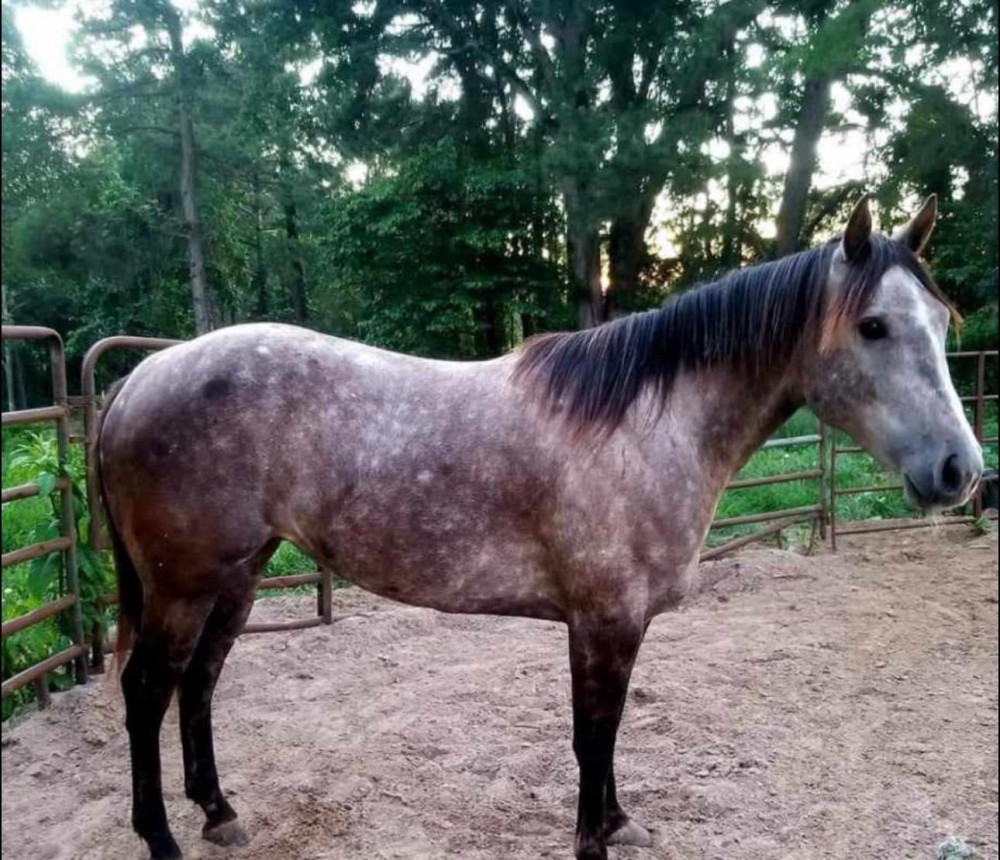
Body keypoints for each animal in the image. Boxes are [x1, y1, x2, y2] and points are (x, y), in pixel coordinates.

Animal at [97, 195, 983, 860]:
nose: (960, 469)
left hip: (238, 575)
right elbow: (594, 736)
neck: (646, 425)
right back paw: (162, 838)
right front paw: (593, 840)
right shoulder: (604, 622)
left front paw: (618, 824)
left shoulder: (612, 625)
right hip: (184, 587)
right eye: (873, 325)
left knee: (198, 685)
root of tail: (139, 376)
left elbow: (605, 738)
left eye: (940, 322)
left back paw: (219, 814)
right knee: (146, 692)